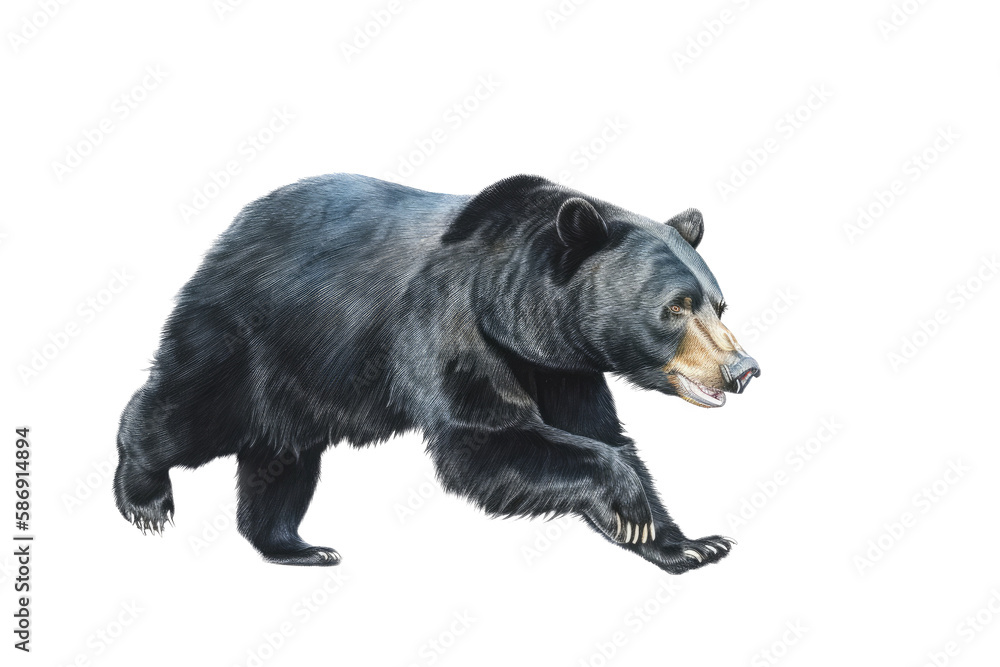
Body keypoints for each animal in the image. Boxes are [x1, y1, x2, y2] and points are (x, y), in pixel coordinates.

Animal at [114, 173, 760, 573]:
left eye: (718, 305)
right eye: (675, 307)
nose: (744, 368)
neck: (512, 306)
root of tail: (231, 230)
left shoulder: (560, 366)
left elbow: (599, 432)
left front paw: (687, 543)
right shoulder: (451, 327)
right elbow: (484, 438)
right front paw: (630, 503)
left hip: (306, 378)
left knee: (284, 459)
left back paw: (294, 546)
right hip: (251, 337)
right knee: (190, 412)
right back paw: (144, 497)